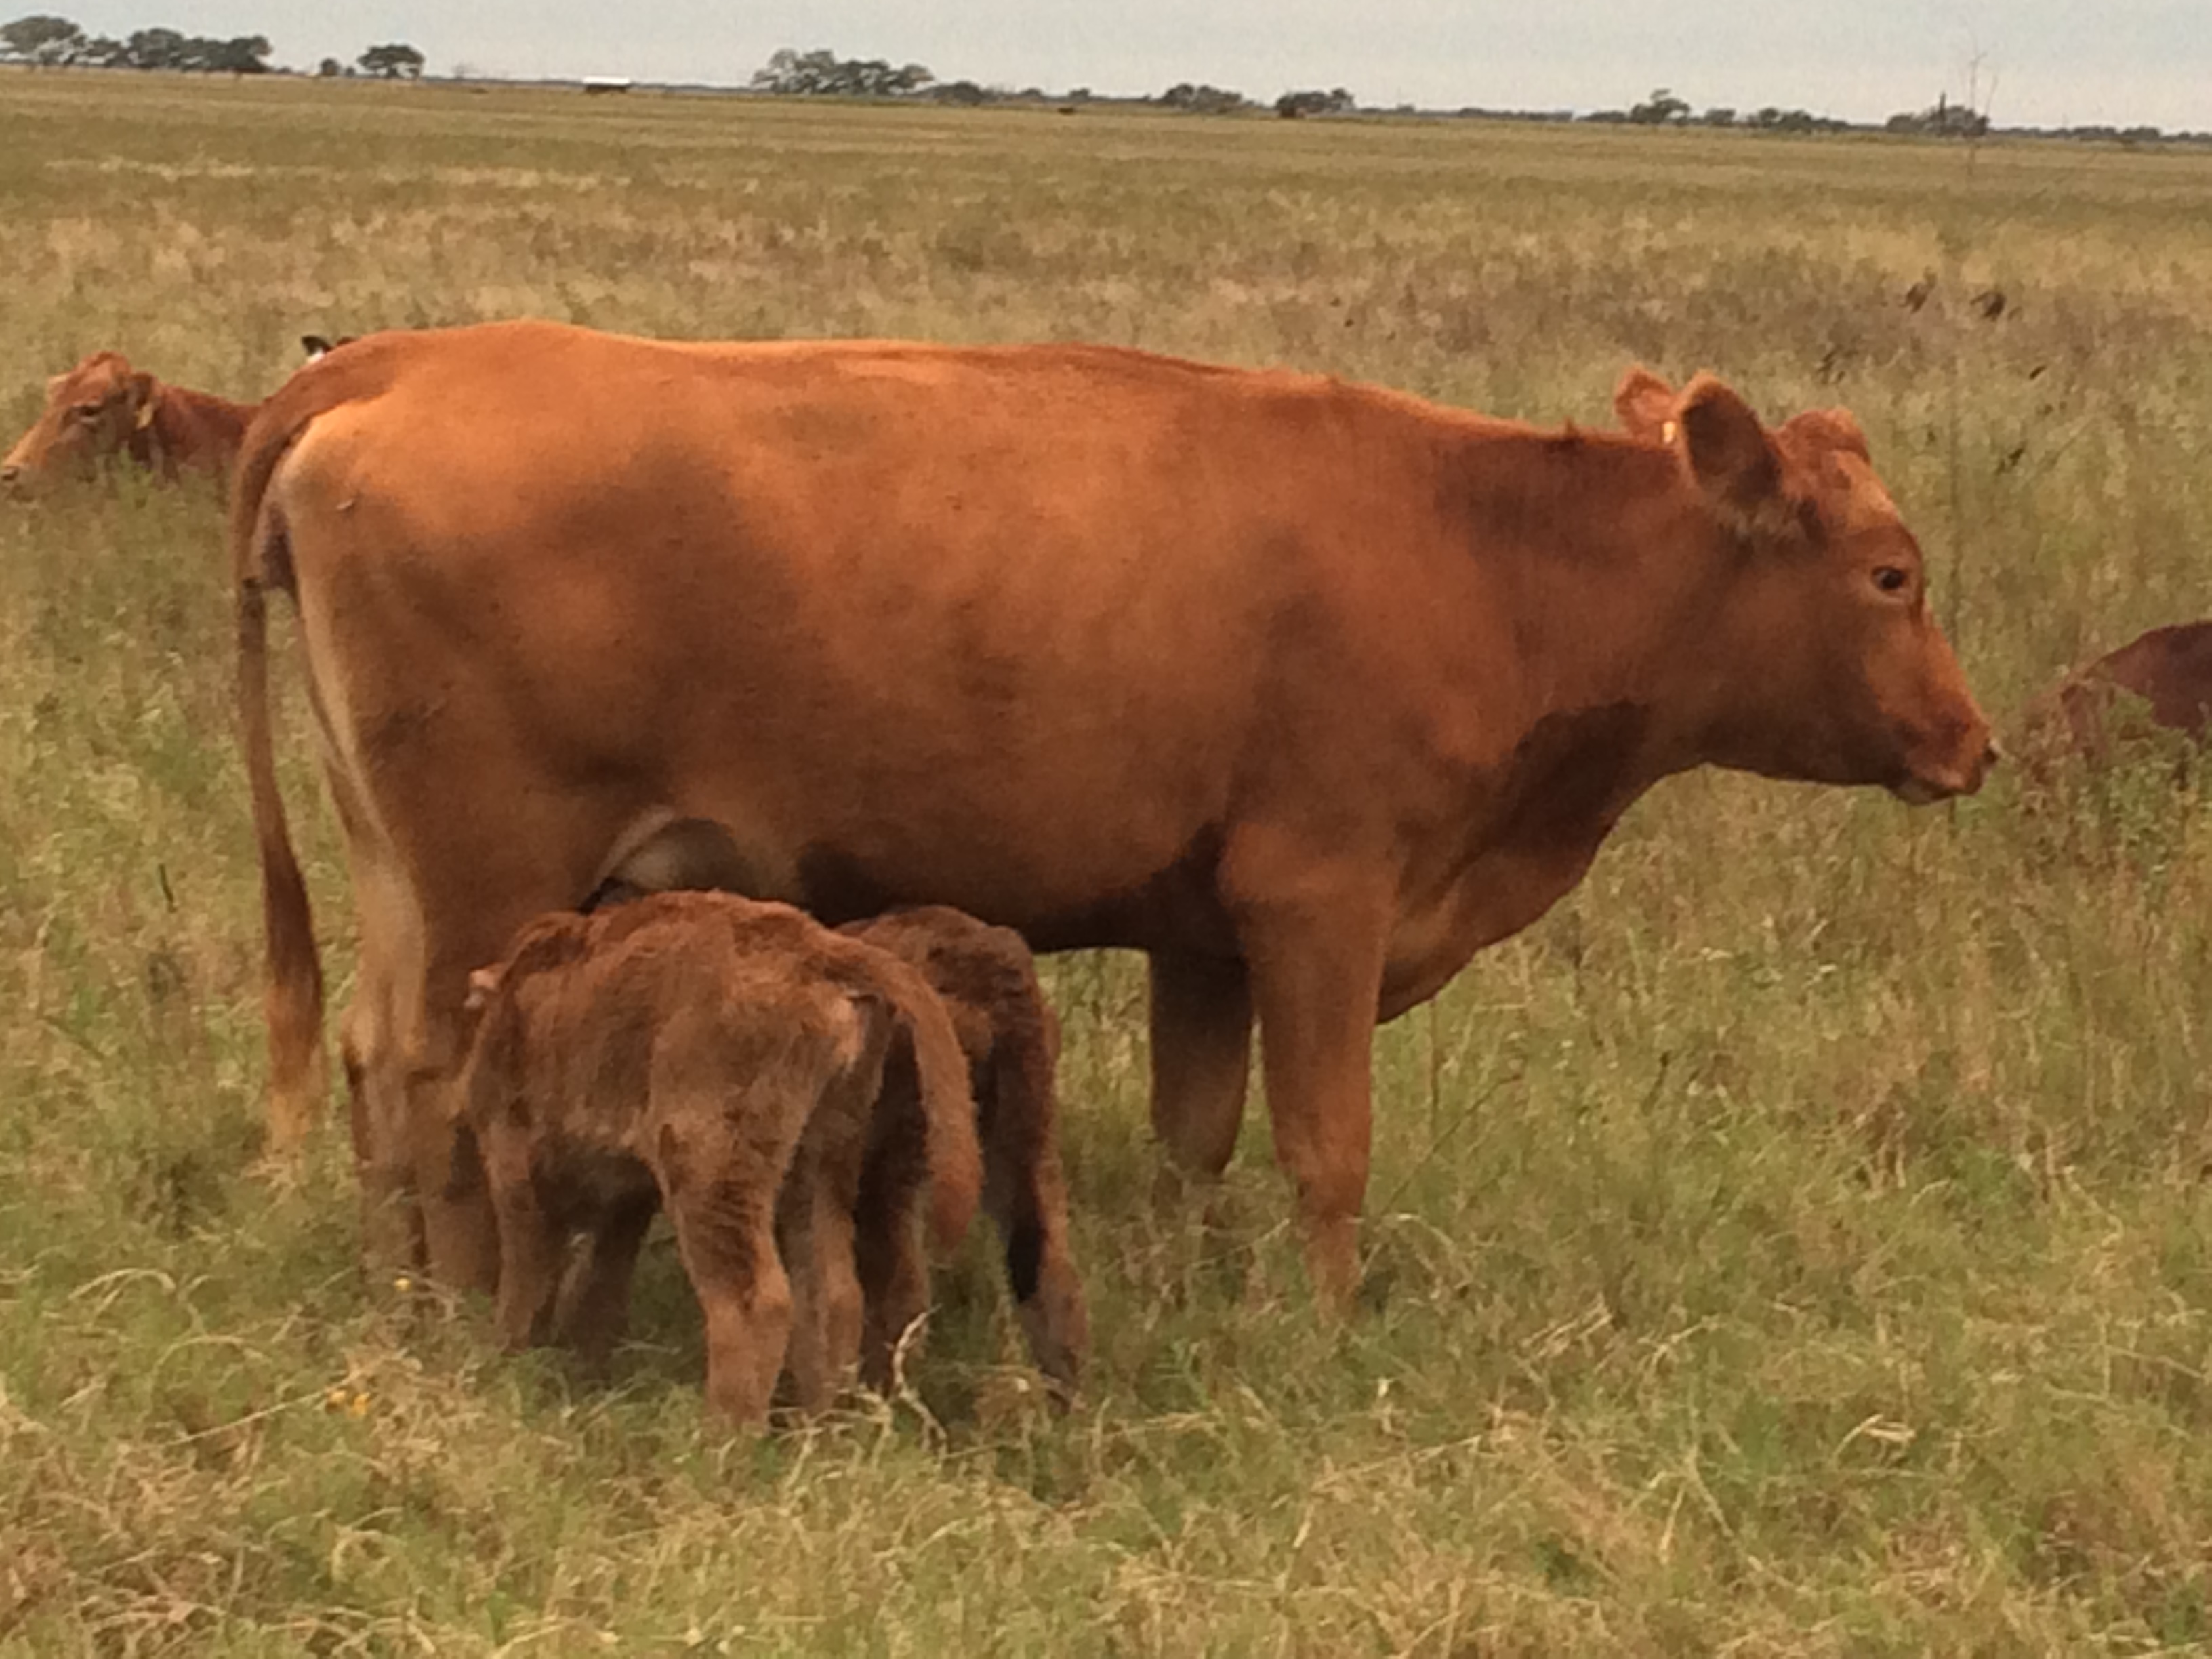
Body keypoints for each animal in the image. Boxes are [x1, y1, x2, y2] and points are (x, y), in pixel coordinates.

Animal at [231, 320, 1995, 1312]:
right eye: (1890, 575)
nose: (1973, 745)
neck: (1483, 557)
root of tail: (403, 359)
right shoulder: (1320, 903)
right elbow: (1328, 1149)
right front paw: (1324, 1336)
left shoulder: (1204, 934)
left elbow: (1196, 1142)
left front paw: (1196, 1291)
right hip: (489, 880)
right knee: (443, 1078)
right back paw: (473, 1316)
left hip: (403, 878)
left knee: (377, 1063)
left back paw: (406, 1299)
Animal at [455, 890, 982, 1424]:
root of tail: (819, 949)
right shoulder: (626, 1199)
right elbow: (599, 1286)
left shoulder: (516, 1169)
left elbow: (527, 1277)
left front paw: (508, 1369)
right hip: (821, 1158)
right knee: (833, 1292)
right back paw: (819, 1428)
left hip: (710, 1168)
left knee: (754, 1300)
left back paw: (721, 1434)